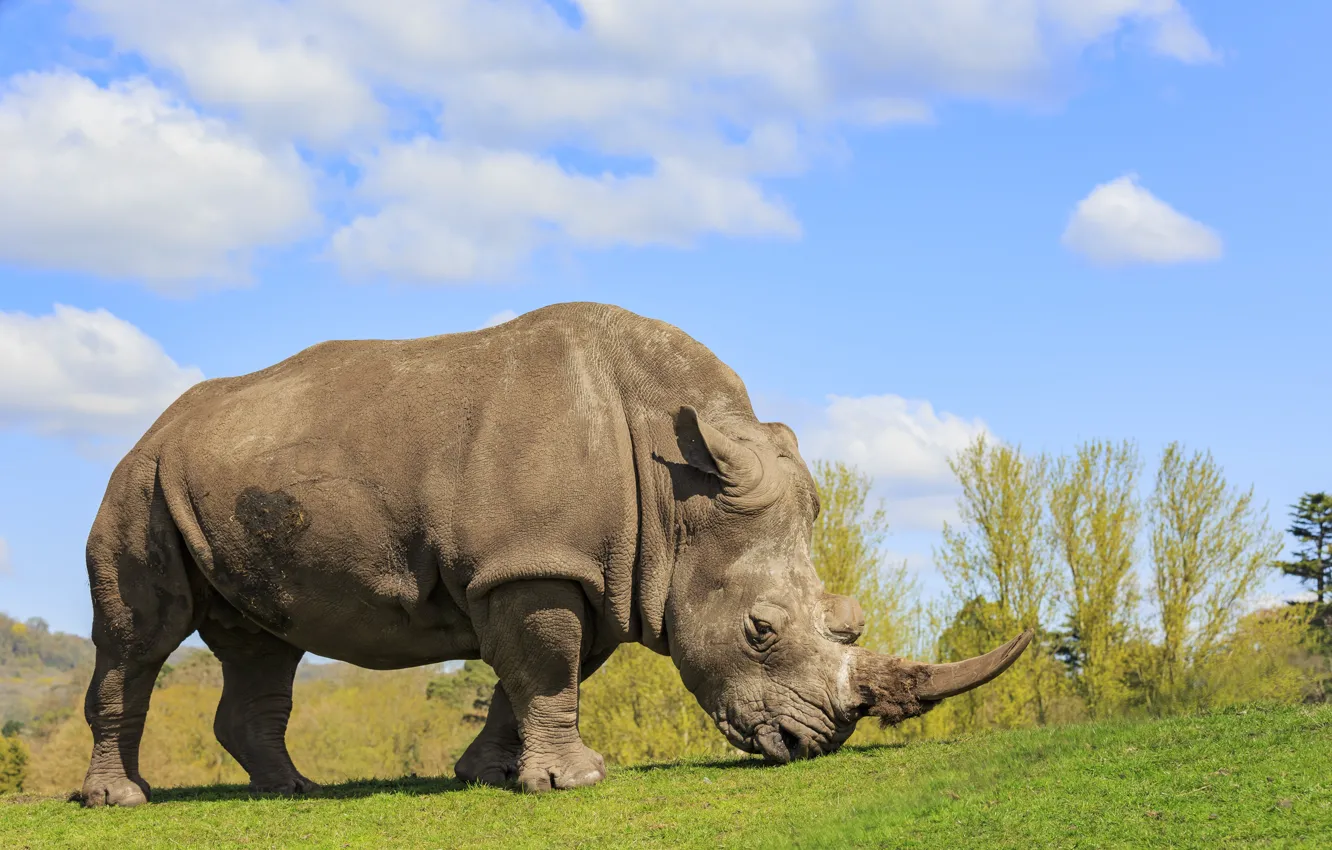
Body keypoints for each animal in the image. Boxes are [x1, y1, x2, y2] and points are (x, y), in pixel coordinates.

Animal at [80, 302, 1030, 805]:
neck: (679, 492)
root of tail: (154, 424)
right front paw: (574, 784)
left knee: (263, 641)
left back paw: (295, 793)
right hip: (138, 481)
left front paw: (491, 775)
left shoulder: (591, 569)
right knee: (140, 638)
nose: (819, 740)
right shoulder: (535, 563)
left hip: (213, 478)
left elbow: (538, 675)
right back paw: (120, 800)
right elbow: (546, 668)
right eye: (760, 631)